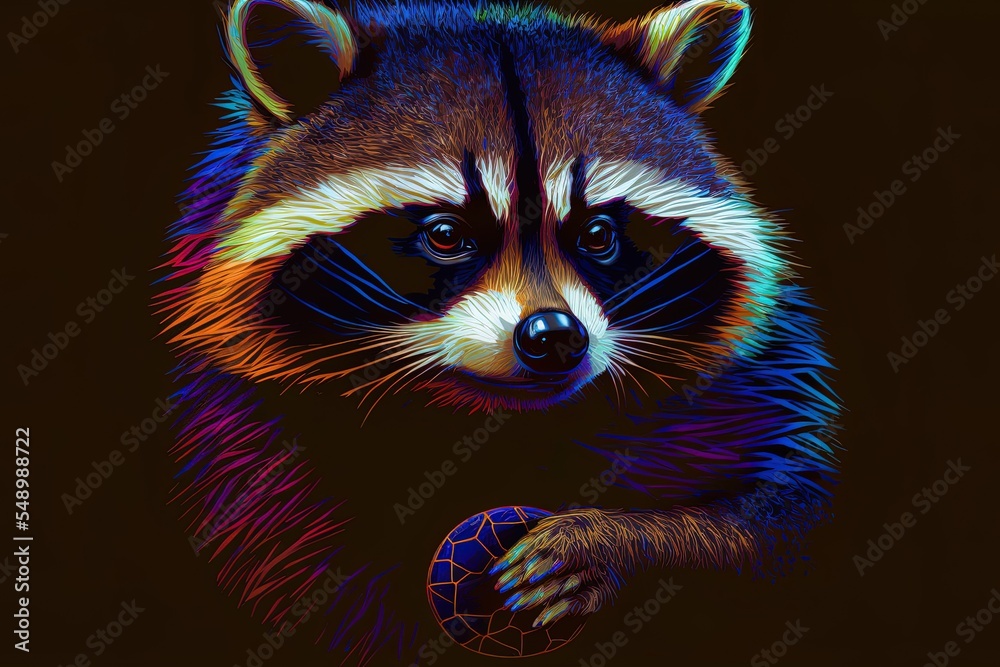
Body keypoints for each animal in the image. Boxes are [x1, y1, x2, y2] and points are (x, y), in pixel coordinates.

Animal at [158, 0, 840, 662]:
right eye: (445, 234)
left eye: (598, 234)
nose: (555, 335)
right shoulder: (245, 441)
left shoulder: (769, 369)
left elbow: (781, 516)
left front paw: (621, 540)